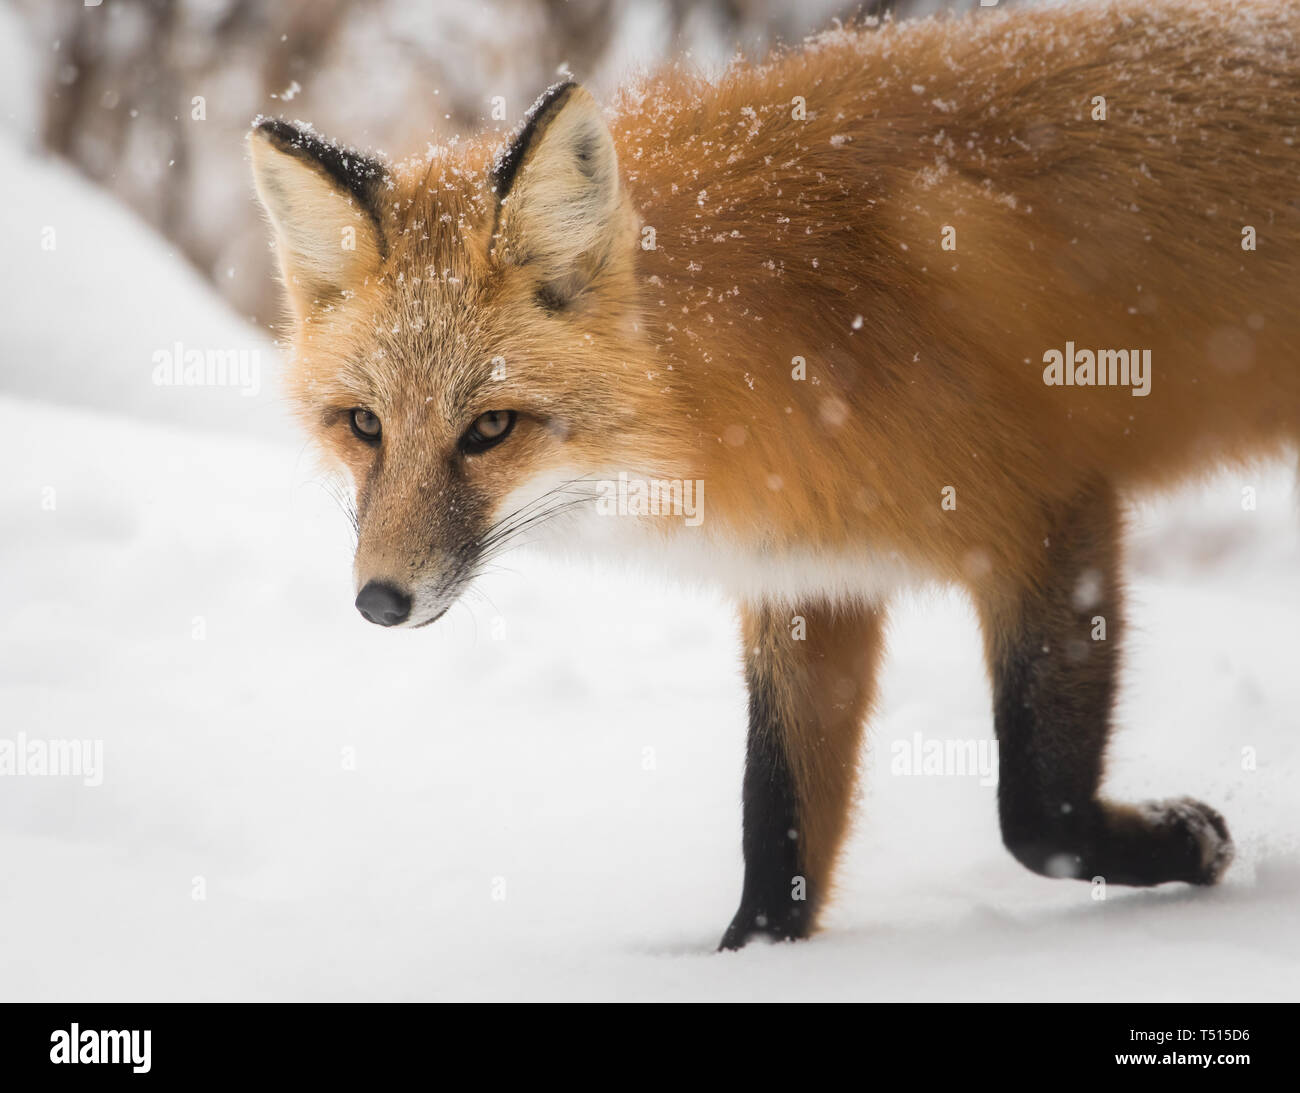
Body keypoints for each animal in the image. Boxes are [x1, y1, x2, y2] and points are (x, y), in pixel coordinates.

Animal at [248, 0, 1300, 950]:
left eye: (491, 429)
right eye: (365, 425)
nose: (379, 600)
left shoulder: (1047, 516)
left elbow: (1038, 816)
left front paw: (1192, 845)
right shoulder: (808, 576)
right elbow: (778, 820)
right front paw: (754, 959)